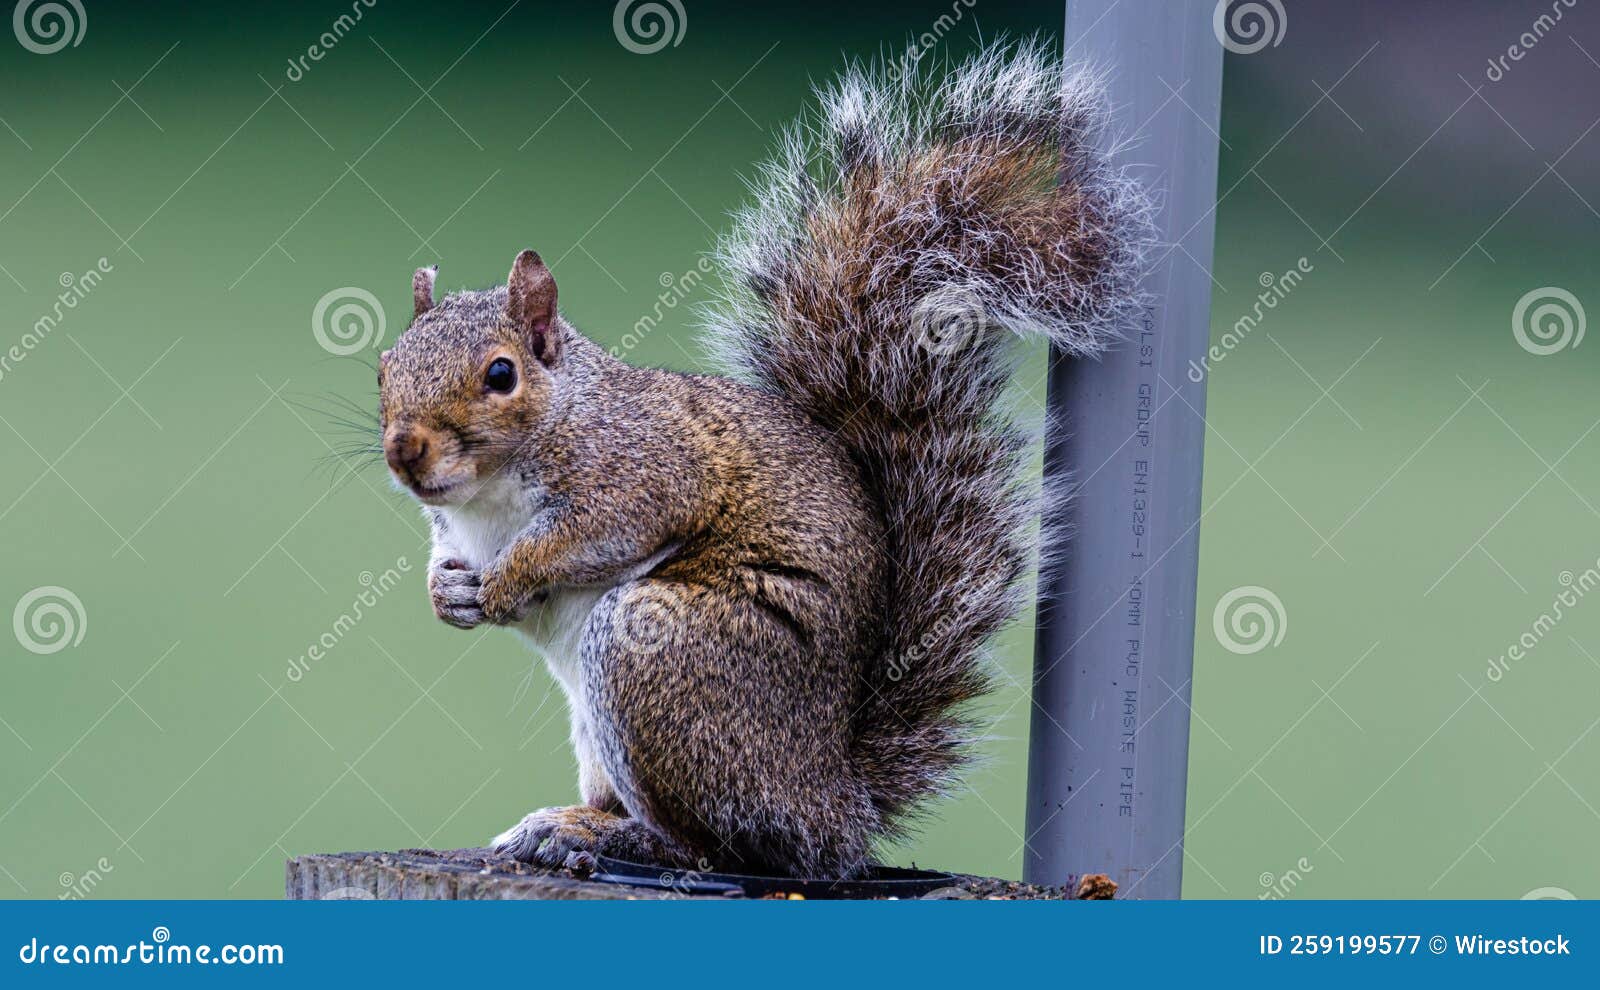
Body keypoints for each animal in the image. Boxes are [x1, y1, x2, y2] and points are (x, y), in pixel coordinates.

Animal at [376, 41, 1147, 878]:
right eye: (383, 367)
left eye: (501, 374)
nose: (404, 452)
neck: (486, 498)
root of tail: (834, 803)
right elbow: (447, 564)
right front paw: (447, 595)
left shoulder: (641, 469)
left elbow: (596, 531)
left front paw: (507, 582)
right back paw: (573, 820)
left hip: (660, 649)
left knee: (717, 847)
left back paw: (613, 837)